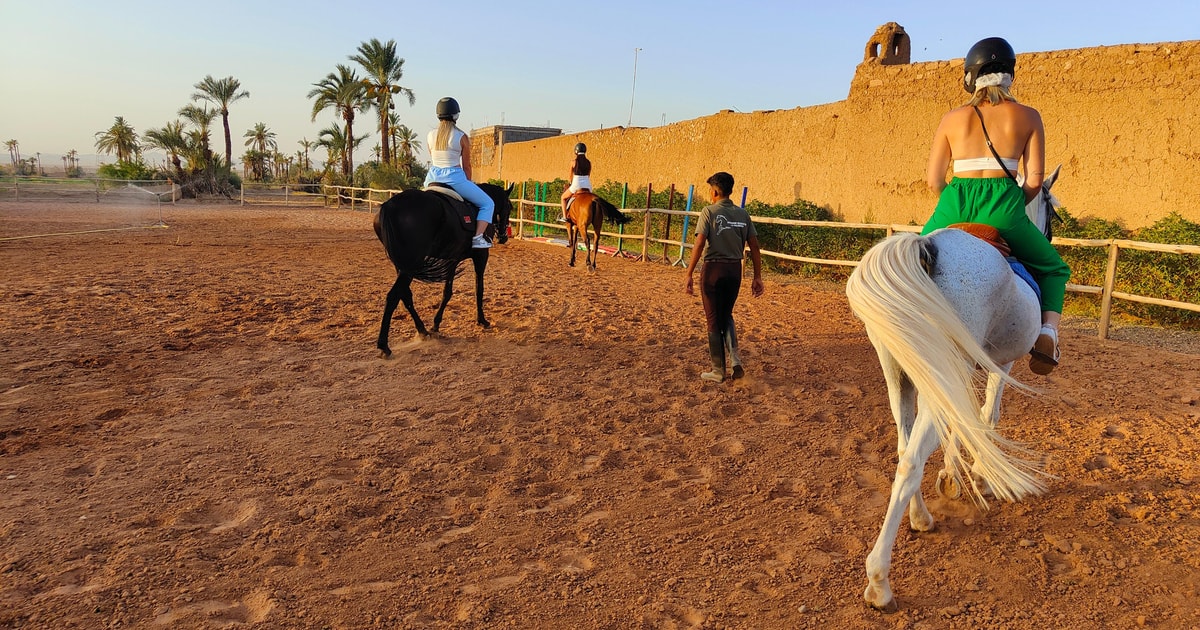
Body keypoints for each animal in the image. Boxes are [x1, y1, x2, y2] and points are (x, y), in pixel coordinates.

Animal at [373, 182, 513, 357]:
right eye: (510, 207)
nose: (504, 236)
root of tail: (389, 205)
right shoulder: (481, 256)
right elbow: (479, 288)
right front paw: (482, 320)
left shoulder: (453, 259)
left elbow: (447, 292)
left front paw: (435, 325)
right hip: (410, 265)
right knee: (393, 296)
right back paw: (384, 345)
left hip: (402, 265)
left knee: (405, 295)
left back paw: (423, 331)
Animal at [845, 226, 1054, 613]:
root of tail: (927, 247)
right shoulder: (1000, 364)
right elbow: (987, 416)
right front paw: (980, 476)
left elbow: (963, 421)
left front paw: (952, 476)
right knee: (912, 460)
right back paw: (879, 582)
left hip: (902, 371)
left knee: (904, 449)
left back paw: (921, 518)